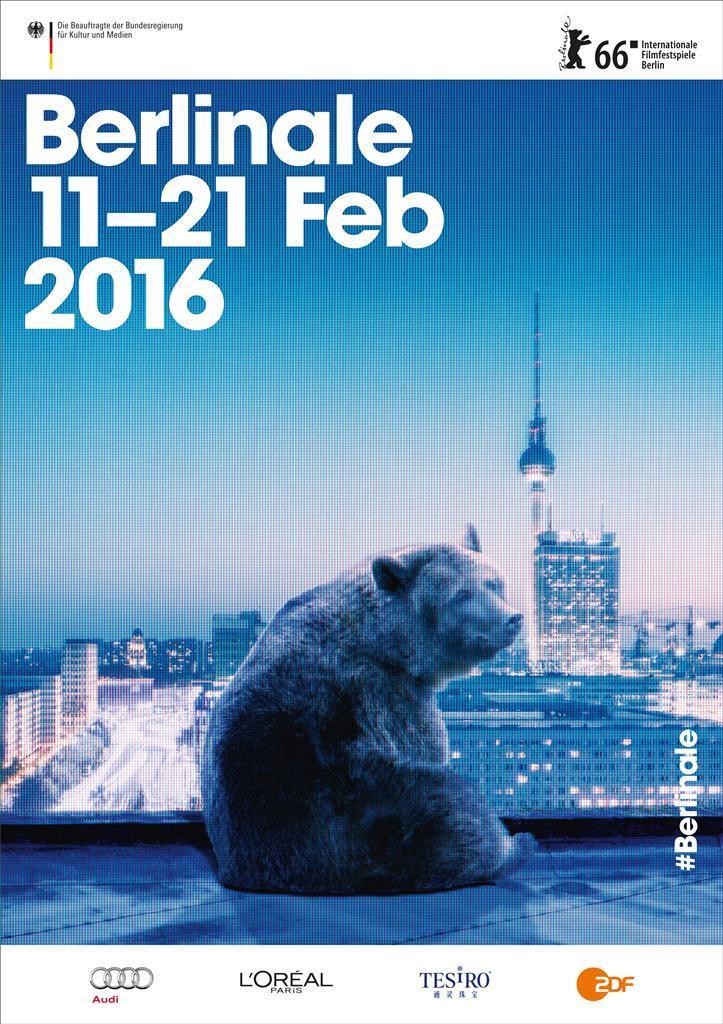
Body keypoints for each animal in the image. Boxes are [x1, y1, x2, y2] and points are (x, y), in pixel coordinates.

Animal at [201, 525, 533, 894]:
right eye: (461, 594)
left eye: (494, 582)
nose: (511, 619)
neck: (385, 640)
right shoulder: (384, 698)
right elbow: (429, 749)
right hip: (353, 817)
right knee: (455, 810)